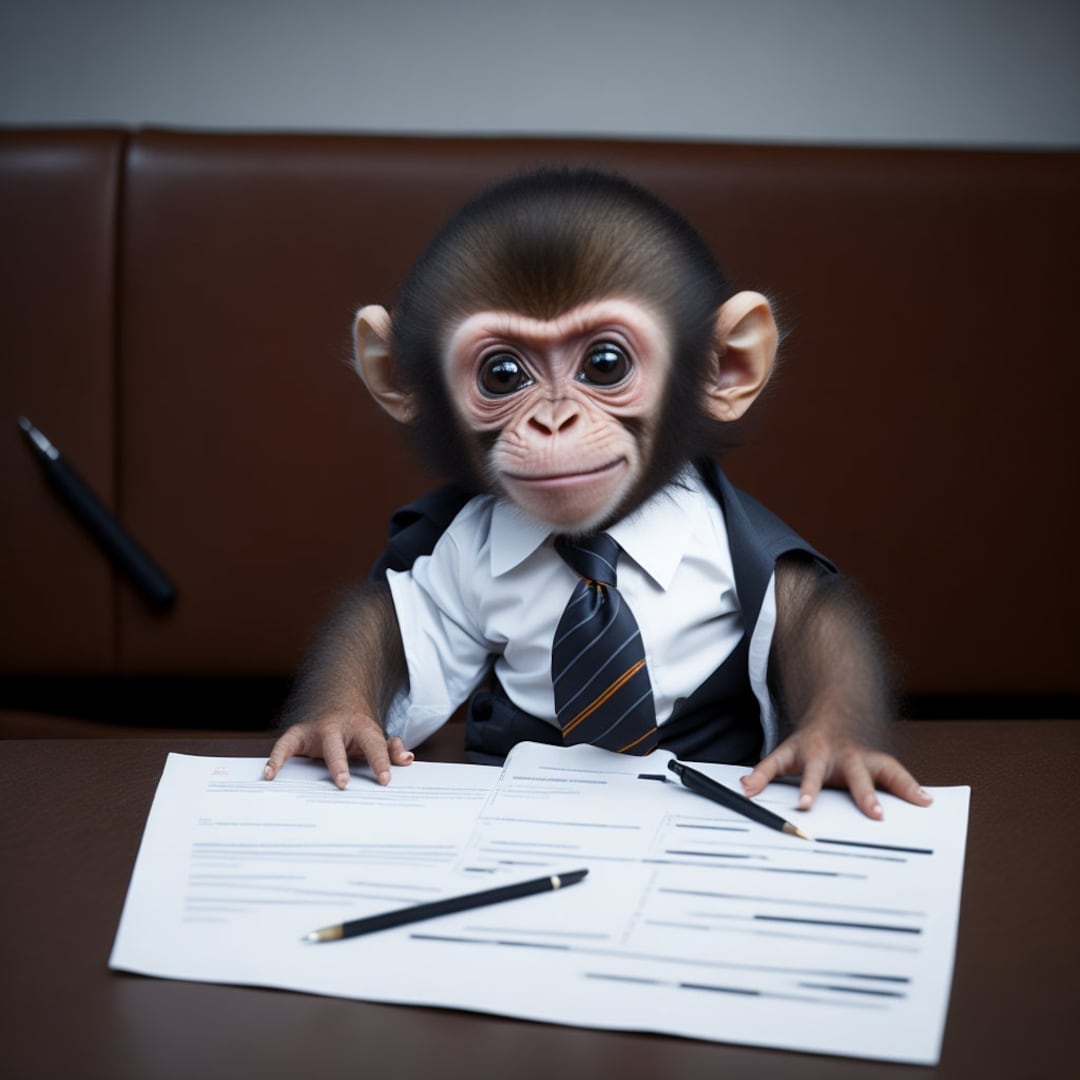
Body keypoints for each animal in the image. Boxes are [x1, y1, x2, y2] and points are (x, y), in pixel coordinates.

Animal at [264, 167, 931, 821]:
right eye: (502, 375)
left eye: (605, 364)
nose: (554, 422)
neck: (595, 542)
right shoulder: (458, 544)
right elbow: (397, 613)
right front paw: (338, 723)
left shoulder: (738, 542)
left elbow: (809, 616)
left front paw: (836, 747)